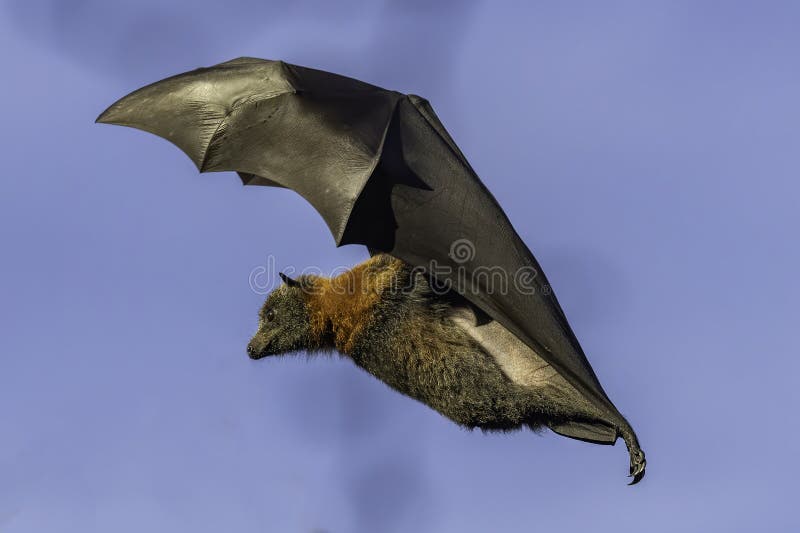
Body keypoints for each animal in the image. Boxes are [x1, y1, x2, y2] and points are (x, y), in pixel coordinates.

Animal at [247, 253, 646, 483]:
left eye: (270, 318)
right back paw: (626, 436)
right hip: (516, 391)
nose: (251, 349)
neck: (335, 316)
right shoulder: (388, 284)